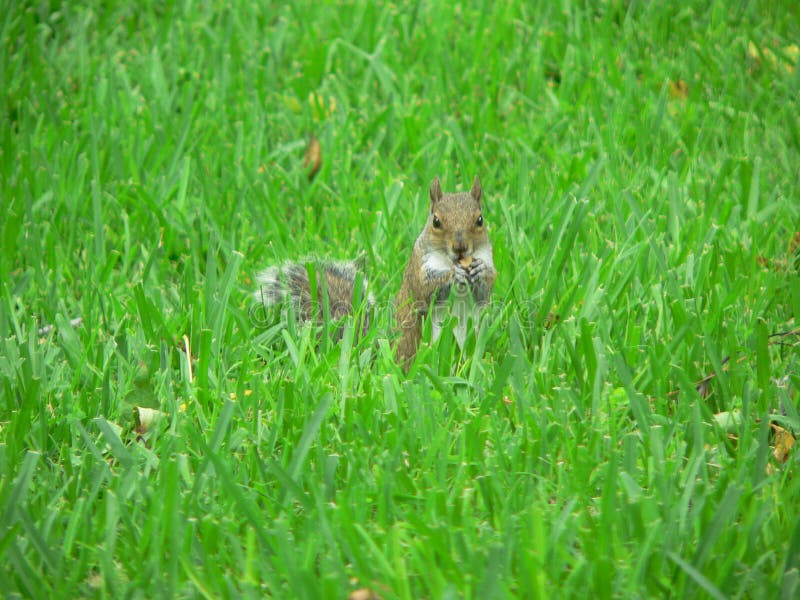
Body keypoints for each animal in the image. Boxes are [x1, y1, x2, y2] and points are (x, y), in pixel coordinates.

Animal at [254, 176, 496, 369]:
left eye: (480, 219)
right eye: (436, 221)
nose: (460, 247)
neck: (450, 260)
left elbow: (485, 292)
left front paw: (480, 271)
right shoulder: (417, 269)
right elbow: (425, 290)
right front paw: (452, 276)